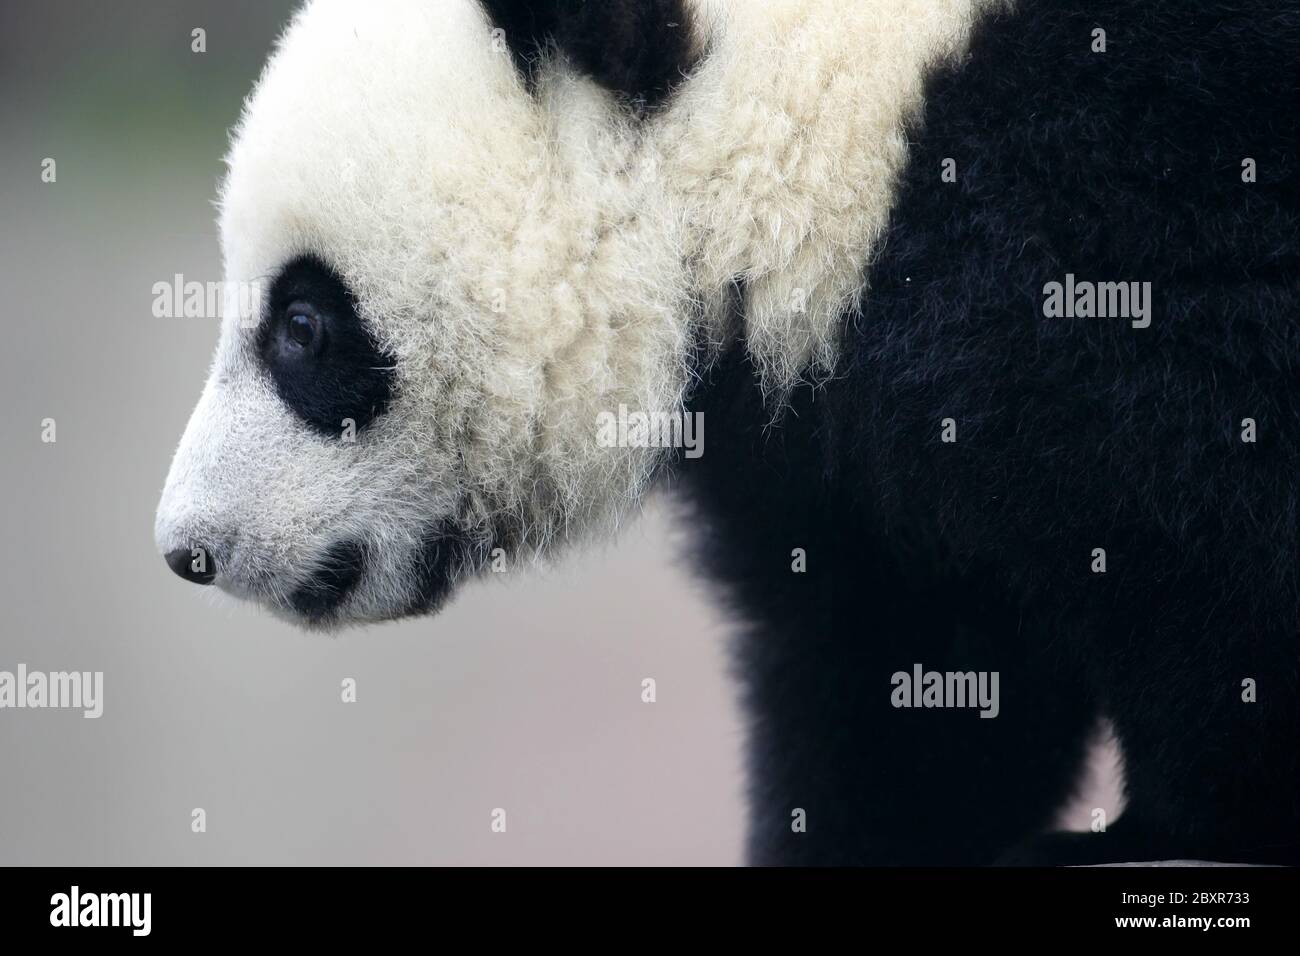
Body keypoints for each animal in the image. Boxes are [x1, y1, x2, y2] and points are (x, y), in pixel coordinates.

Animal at [155, 0, 1299, 866]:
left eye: (304, 324)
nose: (187, 548)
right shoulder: (836, 449)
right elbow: (915, 675)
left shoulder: (1106, 218)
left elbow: (1218, 551)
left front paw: (1167, 827)